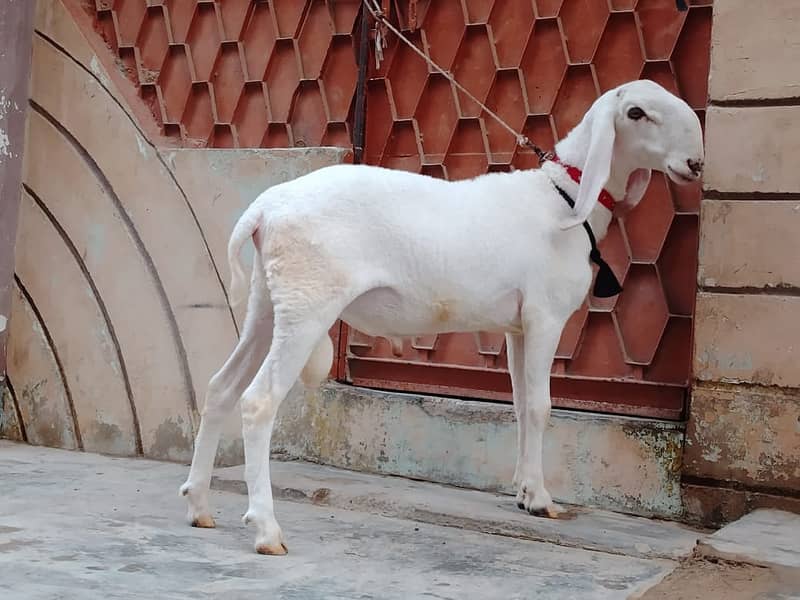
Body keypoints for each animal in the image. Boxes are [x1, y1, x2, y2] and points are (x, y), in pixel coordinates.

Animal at [179, 79, 704, 555]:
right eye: (636, 113)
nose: (695, 164)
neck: (563, 198)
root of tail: (265, 208)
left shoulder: (517, 327)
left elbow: (519, 405)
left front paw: (521, 491)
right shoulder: (546, 316)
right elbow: (540, 406)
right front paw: (540, 499)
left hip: (268, 304)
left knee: (221, 388)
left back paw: (199, 505)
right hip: (307, 304)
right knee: (257, 402)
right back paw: (267, 530)